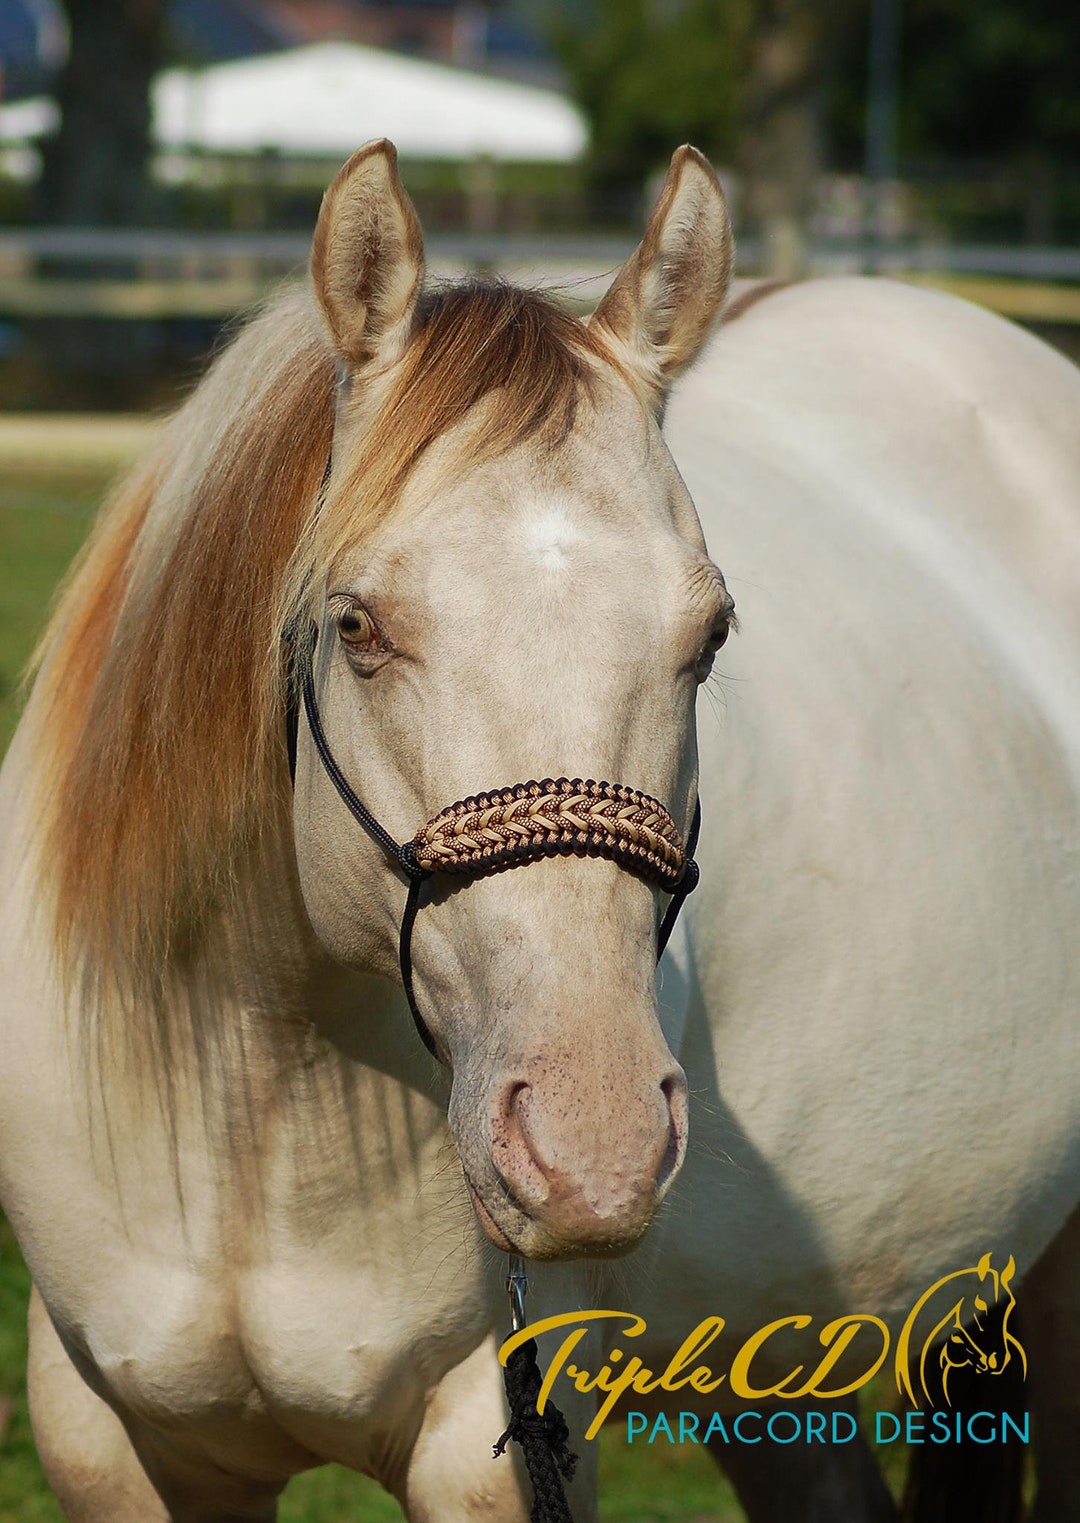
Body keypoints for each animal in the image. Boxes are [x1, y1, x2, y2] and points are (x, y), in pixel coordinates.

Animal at [1, 137, 1079, 1523]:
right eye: (356, 624)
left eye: (710, 635)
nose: (592, 1146)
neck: (255, 1098)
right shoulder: (109, 1431)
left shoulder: (494, 1437)